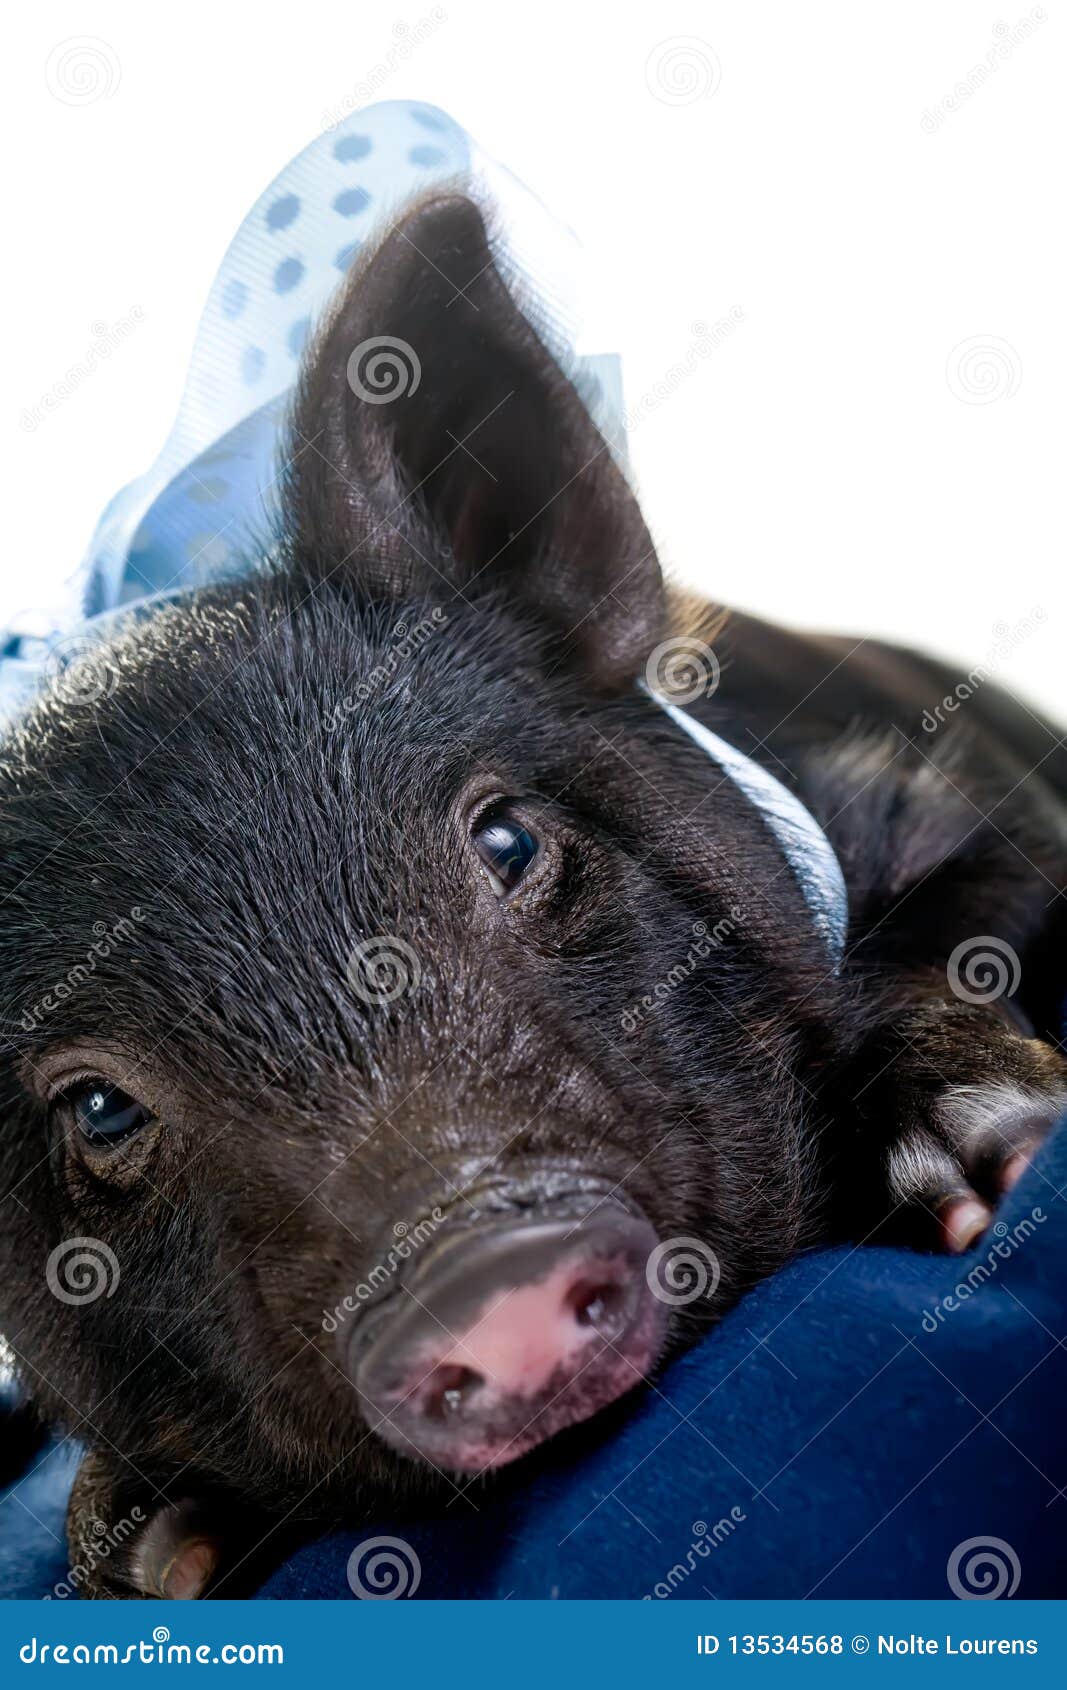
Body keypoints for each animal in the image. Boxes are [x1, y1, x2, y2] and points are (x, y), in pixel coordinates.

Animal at [2, 195, 1066, 1598]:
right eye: (100, 1105)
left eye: (505, 838)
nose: (477, 1264)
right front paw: (155, 1548)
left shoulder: (972, 813)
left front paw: (992, 1159)